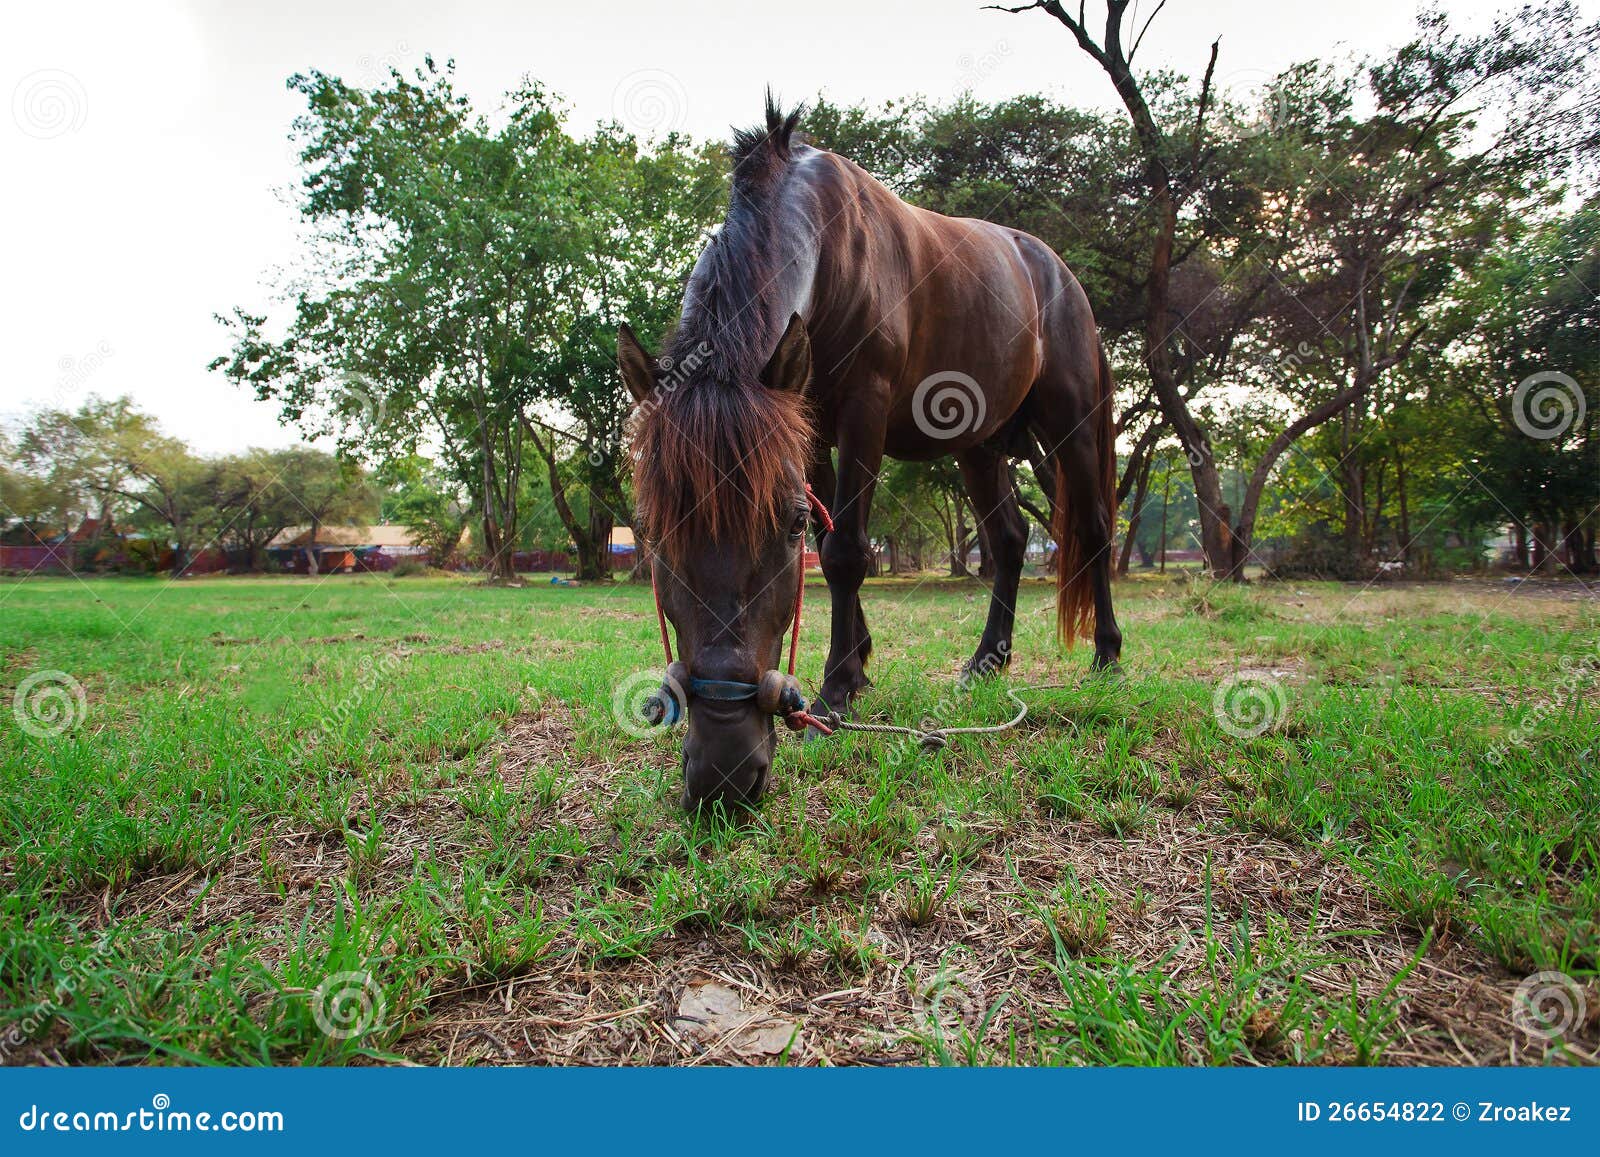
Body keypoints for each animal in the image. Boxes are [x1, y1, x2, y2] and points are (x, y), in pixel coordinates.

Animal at [619, 97, 1121, 808]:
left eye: (787, 523)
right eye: (654, 531)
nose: (723, 775)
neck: (829, 245)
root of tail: (1056, 271)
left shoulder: (865, 410)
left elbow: (846, 552)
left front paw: (834, 692)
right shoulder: (807, 426)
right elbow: (834, 551)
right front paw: (856, 665)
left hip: (1073, 425)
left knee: (1096, 530)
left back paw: (1107, 657)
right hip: (978, 447)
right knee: (1009, 541)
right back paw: (984, 665)